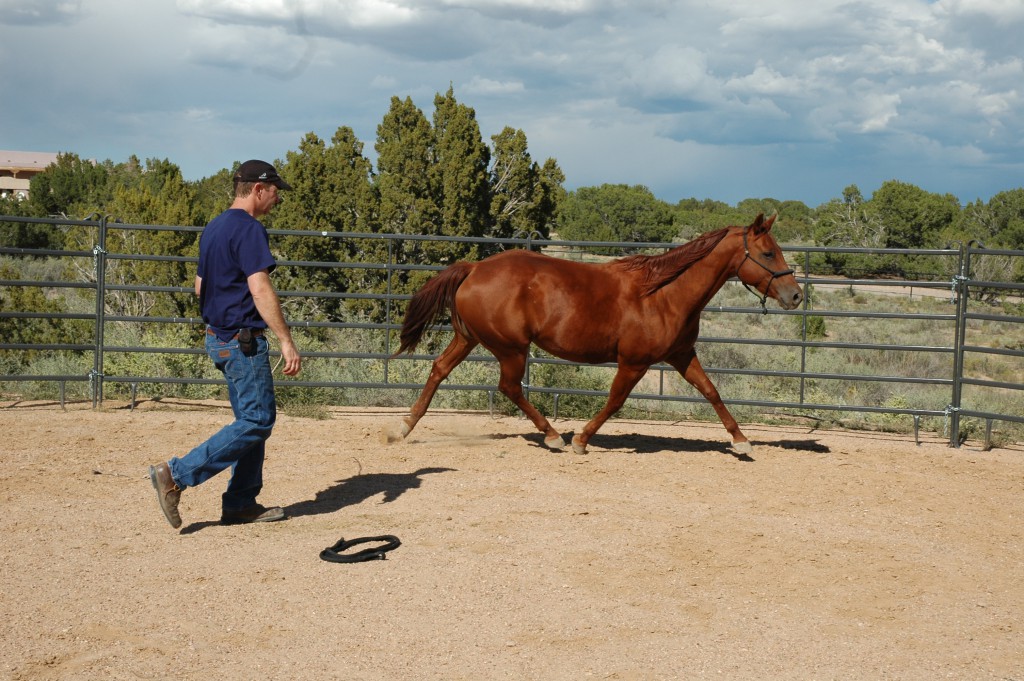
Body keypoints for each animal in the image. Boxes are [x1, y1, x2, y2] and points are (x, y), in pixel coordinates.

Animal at [390, 213, 802, 455]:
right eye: (768, 253)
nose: (795, 295)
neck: (663, 294)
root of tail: (474, 268)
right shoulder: (634, 361)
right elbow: (616, 400)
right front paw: (581, 440)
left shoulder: (682, 355)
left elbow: (712, 392)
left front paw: (742, 441)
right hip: (511, 348)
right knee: (509, 387)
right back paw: (553, 435)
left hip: (471, 338)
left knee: (439, 369)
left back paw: (403, 428)